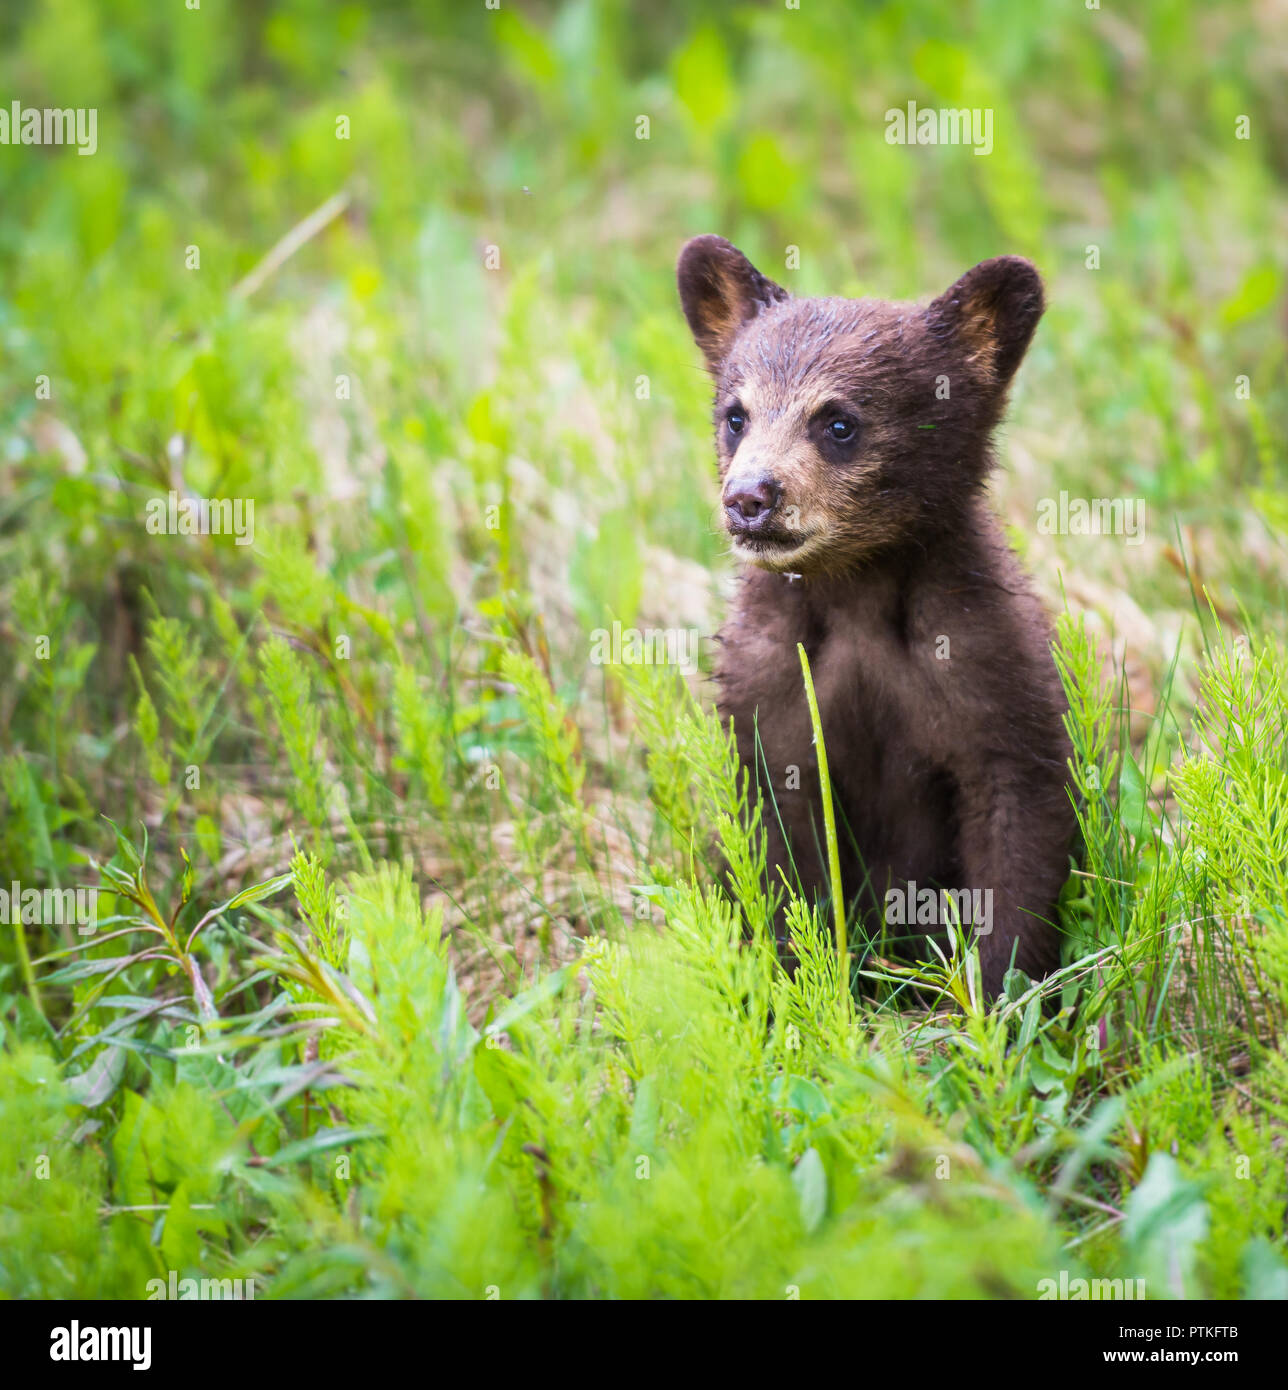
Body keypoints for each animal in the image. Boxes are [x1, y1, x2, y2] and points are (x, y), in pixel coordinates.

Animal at [676, 234, 1076, 998]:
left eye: (839, 422)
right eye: (736, 415)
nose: (749, 498)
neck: (855, 591)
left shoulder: (987, 665)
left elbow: (1017, 827)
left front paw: (999, 993)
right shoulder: (770, 683)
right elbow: (777, 850)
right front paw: (795, 980)